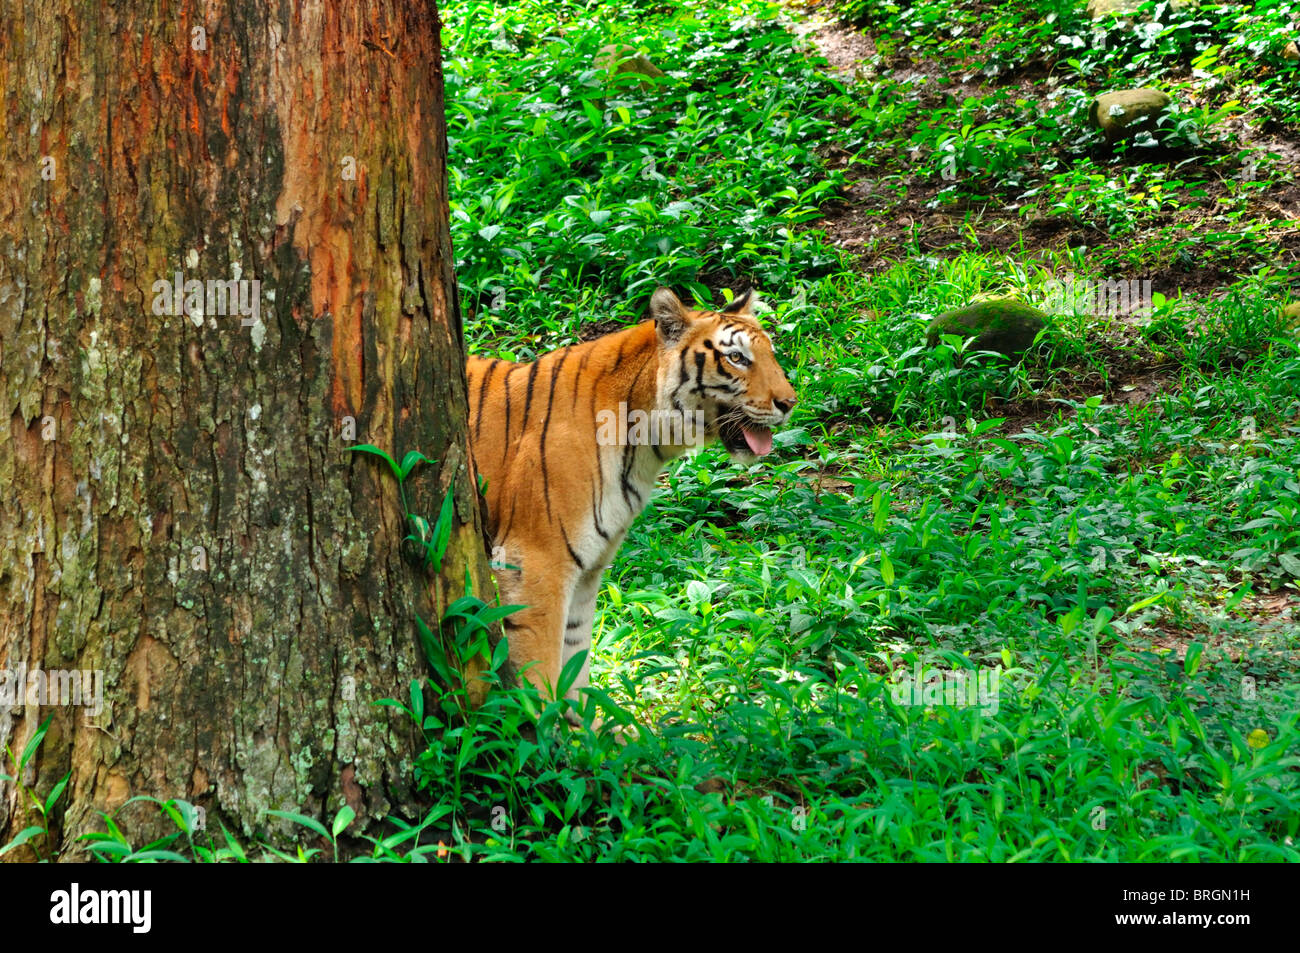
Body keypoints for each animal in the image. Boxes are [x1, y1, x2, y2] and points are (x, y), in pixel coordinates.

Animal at [465, 286, 796, 719]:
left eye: (771, 354)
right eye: (737, 358)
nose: (790, 403)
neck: (646, 446)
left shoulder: (588, 566)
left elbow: (574, 659)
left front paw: (585, 731)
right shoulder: (536, 560)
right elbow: (541, 668)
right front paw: (544, 731)